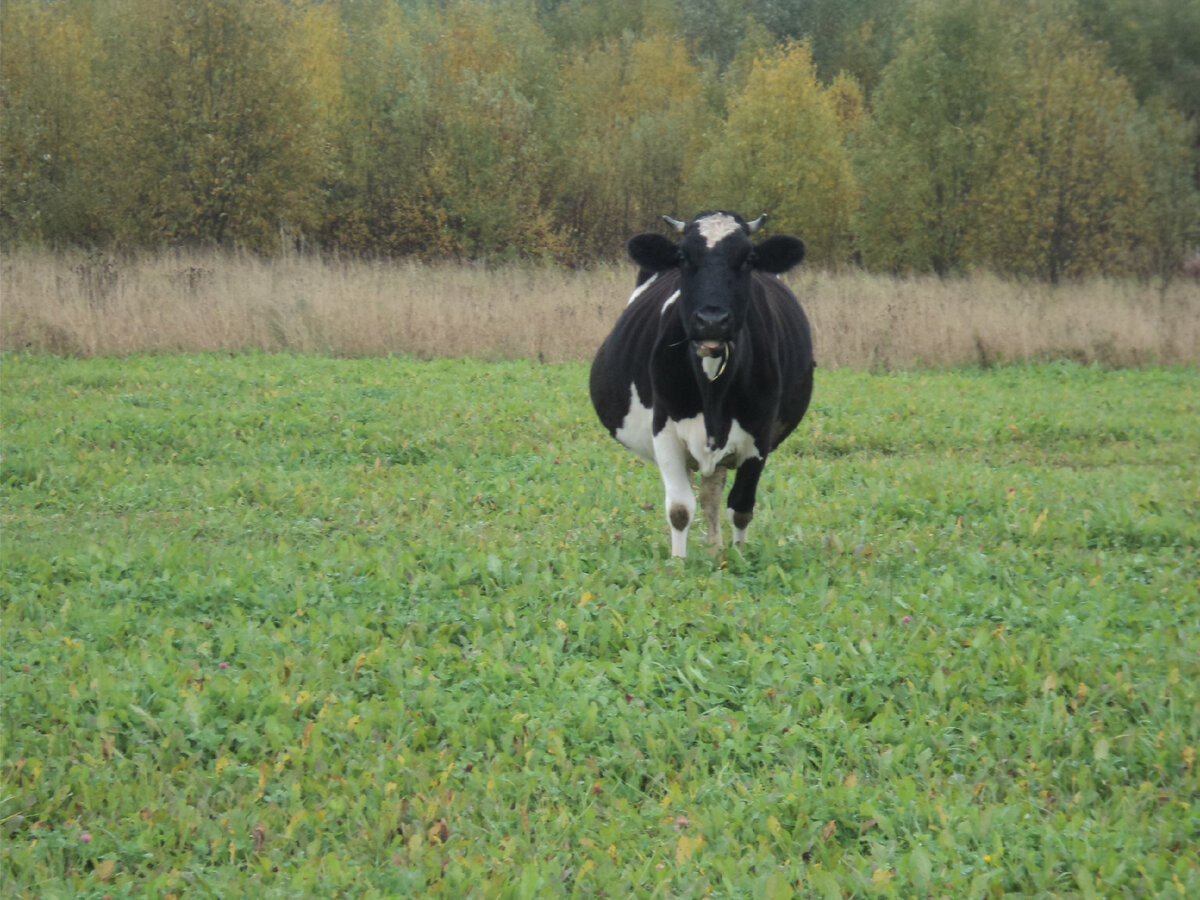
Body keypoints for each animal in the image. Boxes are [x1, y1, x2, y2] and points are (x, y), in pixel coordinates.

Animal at [590, 212, 816, 561]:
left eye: (748, 259)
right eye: (683, 258)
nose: (711, 320)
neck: (713, 395)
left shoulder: (759, 433)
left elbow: (741, 506)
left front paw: (738, 557)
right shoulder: (664, 429)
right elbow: (680, 508)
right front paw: (678, 563)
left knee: (713, 491)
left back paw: (716, 551)